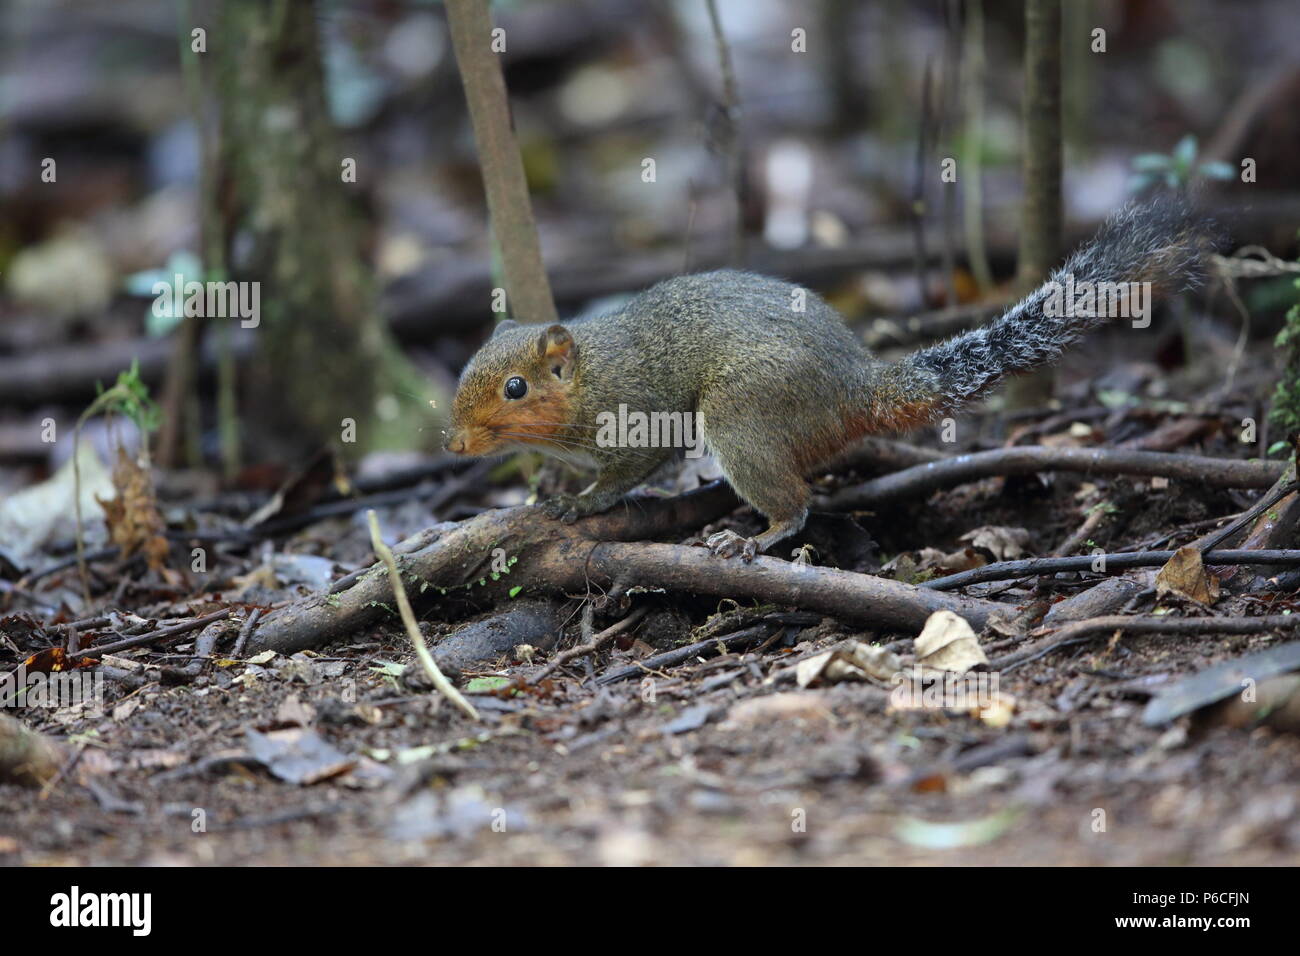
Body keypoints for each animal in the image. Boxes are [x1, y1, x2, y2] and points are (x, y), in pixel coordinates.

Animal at [446, 197, 1212, 561]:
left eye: (515, 388)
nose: (452, 446)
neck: (589, 375)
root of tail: (856, 390)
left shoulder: (635, 410)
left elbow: (629, 470)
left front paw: (582, 502)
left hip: (743, 416)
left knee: (796, 502)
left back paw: (755, 537)